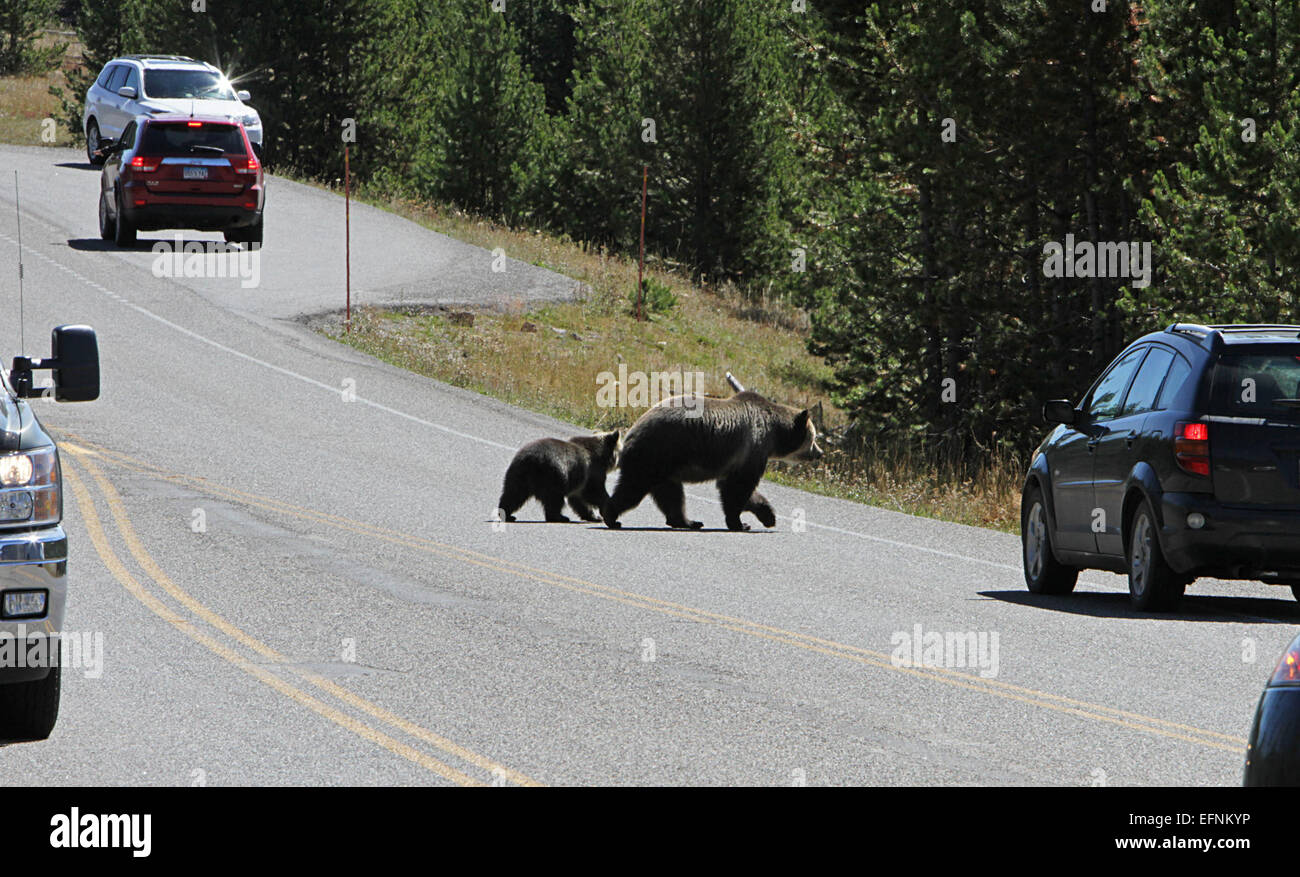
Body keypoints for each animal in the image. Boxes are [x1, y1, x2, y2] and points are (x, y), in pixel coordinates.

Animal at [602, 391, 823, 531]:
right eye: (813, 437)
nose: (819, 453)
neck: (775, 433)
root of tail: (630, 433)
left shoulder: (738, 459)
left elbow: (734, 486)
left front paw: (768, 515)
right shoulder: (753, 447)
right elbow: (739, 487)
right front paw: (740, 523)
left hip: (666, 465)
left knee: (671, 493)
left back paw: (688, 521)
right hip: (656, 453)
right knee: (634, 488)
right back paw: (611, 516)